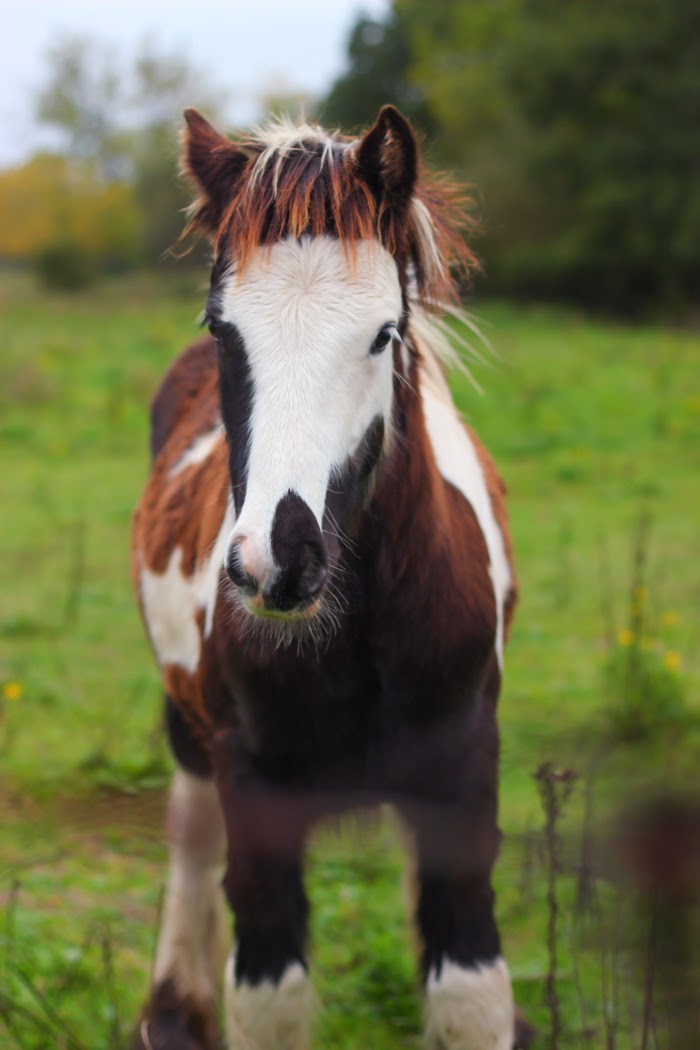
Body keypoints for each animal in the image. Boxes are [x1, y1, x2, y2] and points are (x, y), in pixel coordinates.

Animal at [131, 104, 527, 1050]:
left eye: (383, 333)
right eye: (221, 328)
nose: (277, 558)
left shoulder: (463, 773)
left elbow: (469, 987)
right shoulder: (252, 786)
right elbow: (268, 988)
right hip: (186, 721)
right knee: (191, 834)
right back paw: (174, 1009)